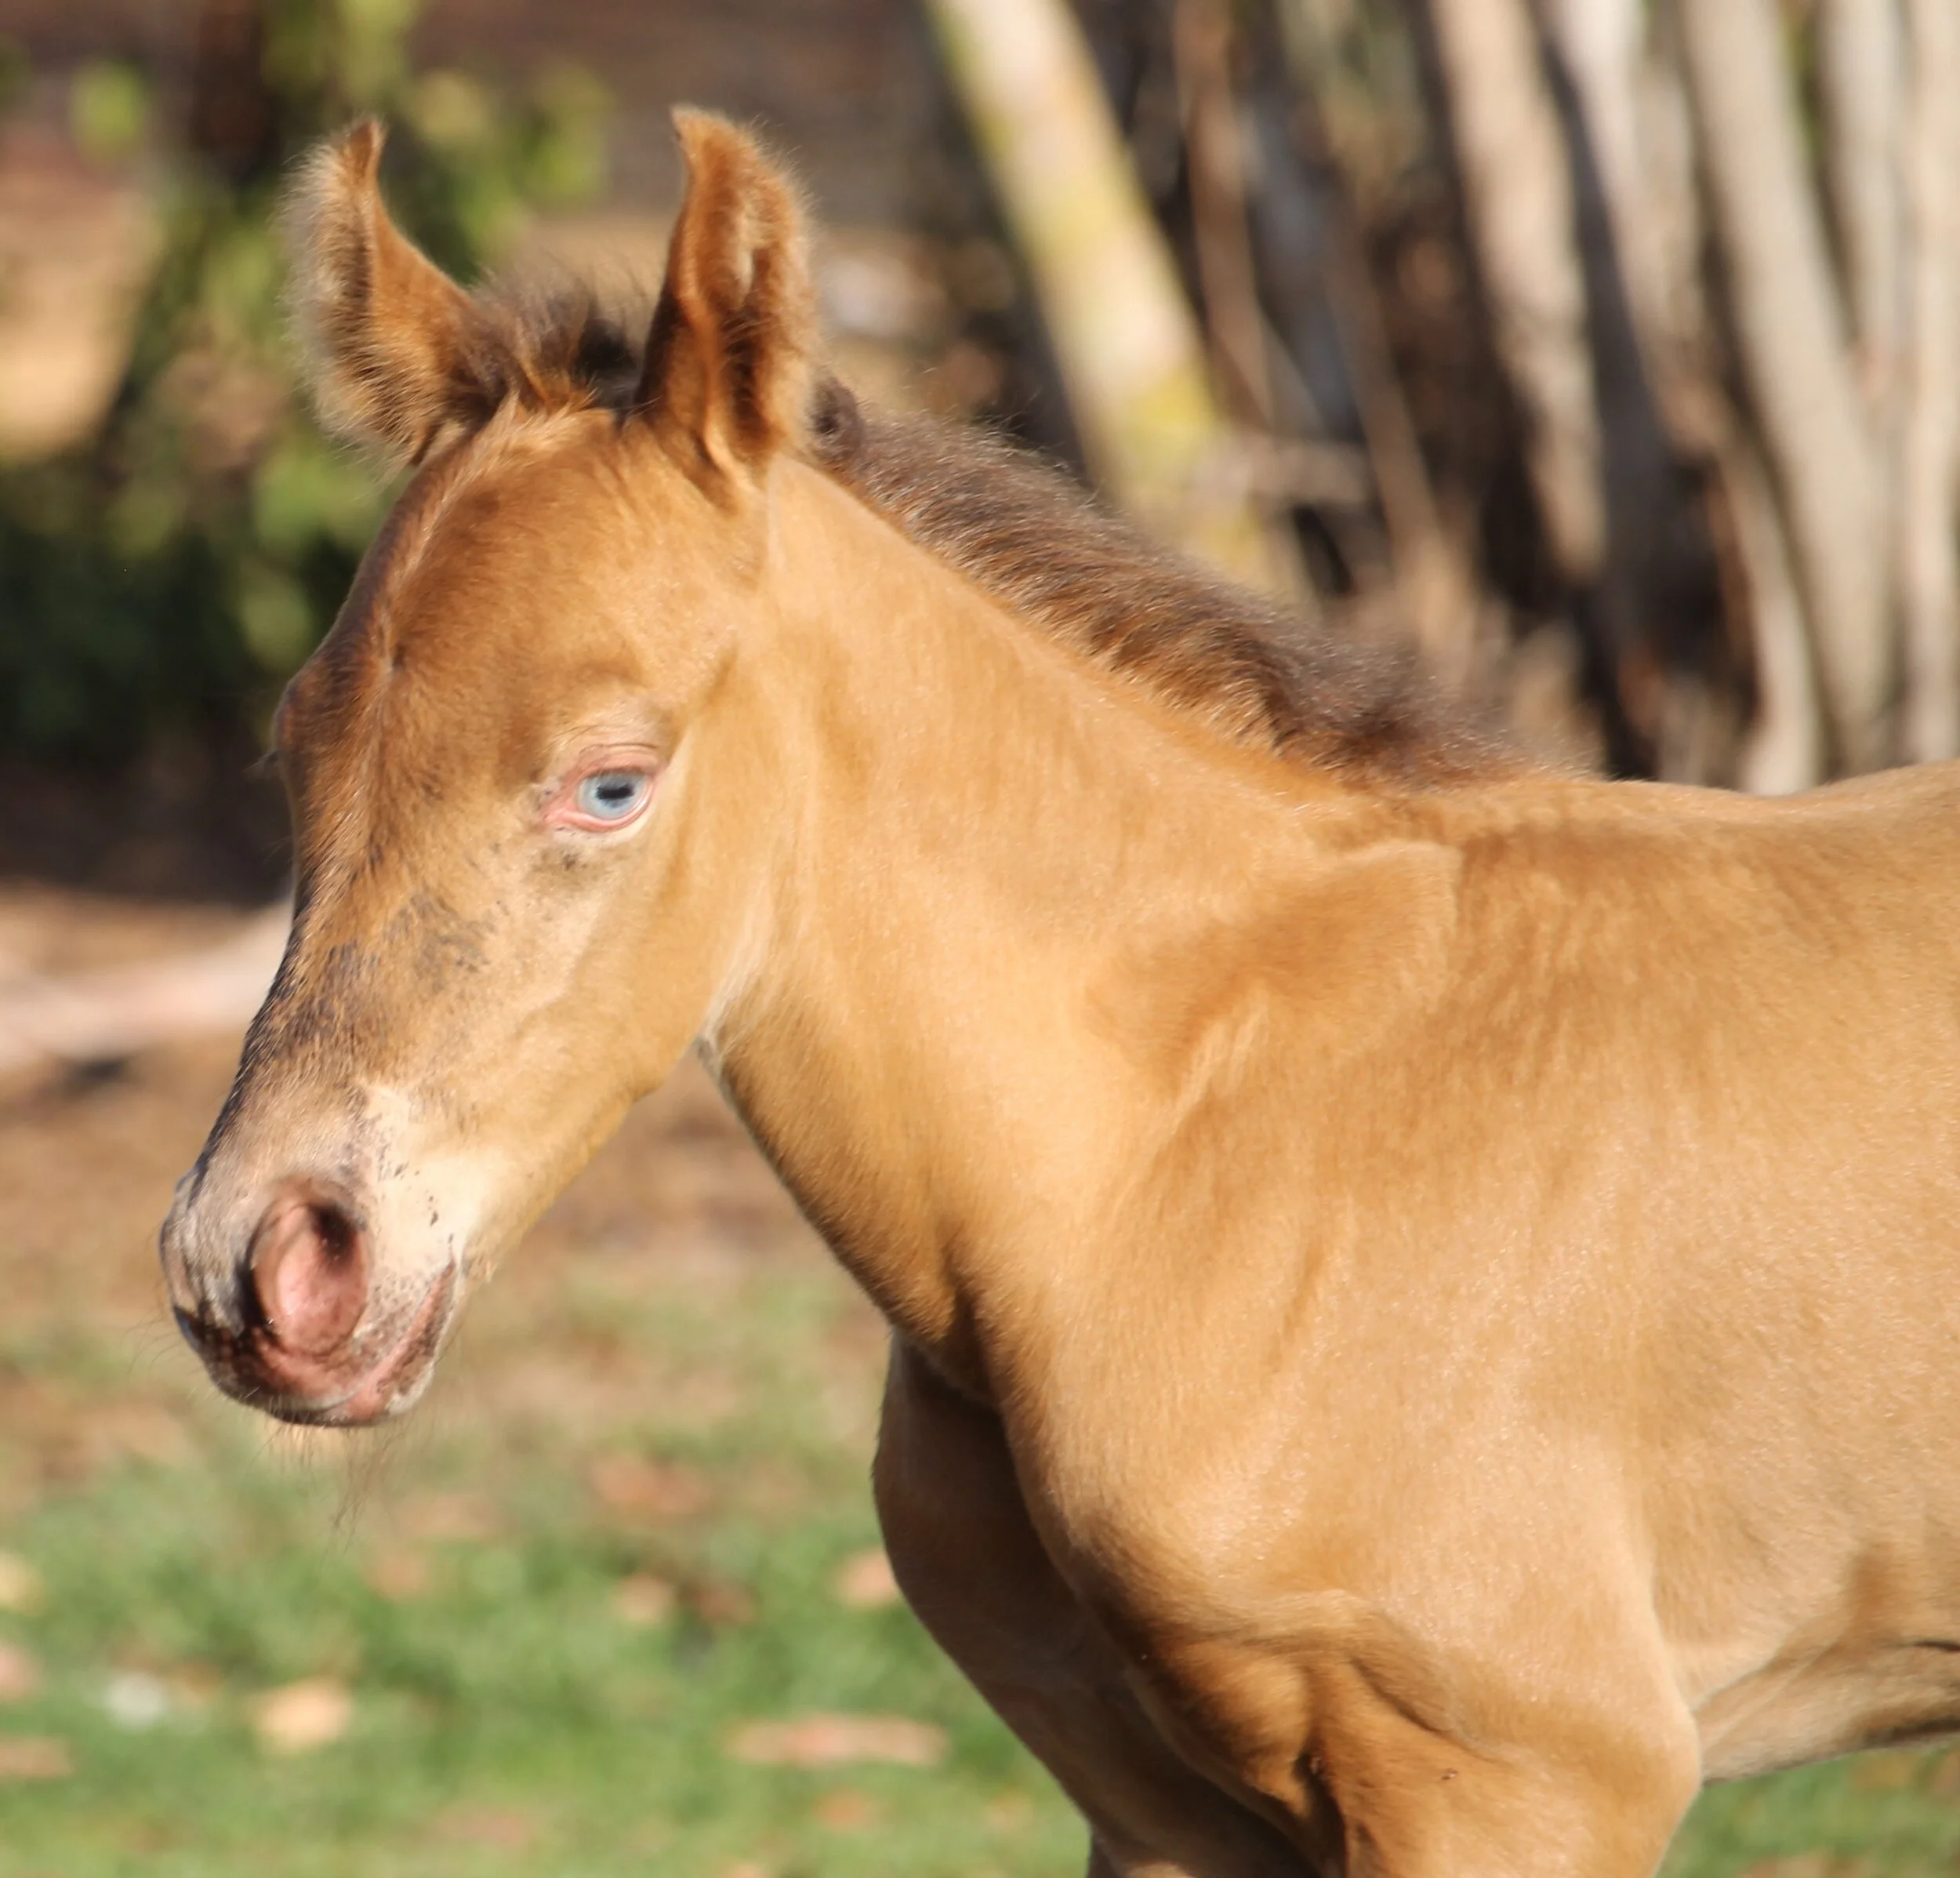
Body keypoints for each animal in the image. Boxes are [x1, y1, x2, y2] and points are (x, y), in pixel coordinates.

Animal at [160, 112, 1960, 1877]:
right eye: (297, 742)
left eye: (609, 783)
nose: (265, 1266)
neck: (1192, 1144)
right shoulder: (1156, 1807)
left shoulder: (1524, 1779)